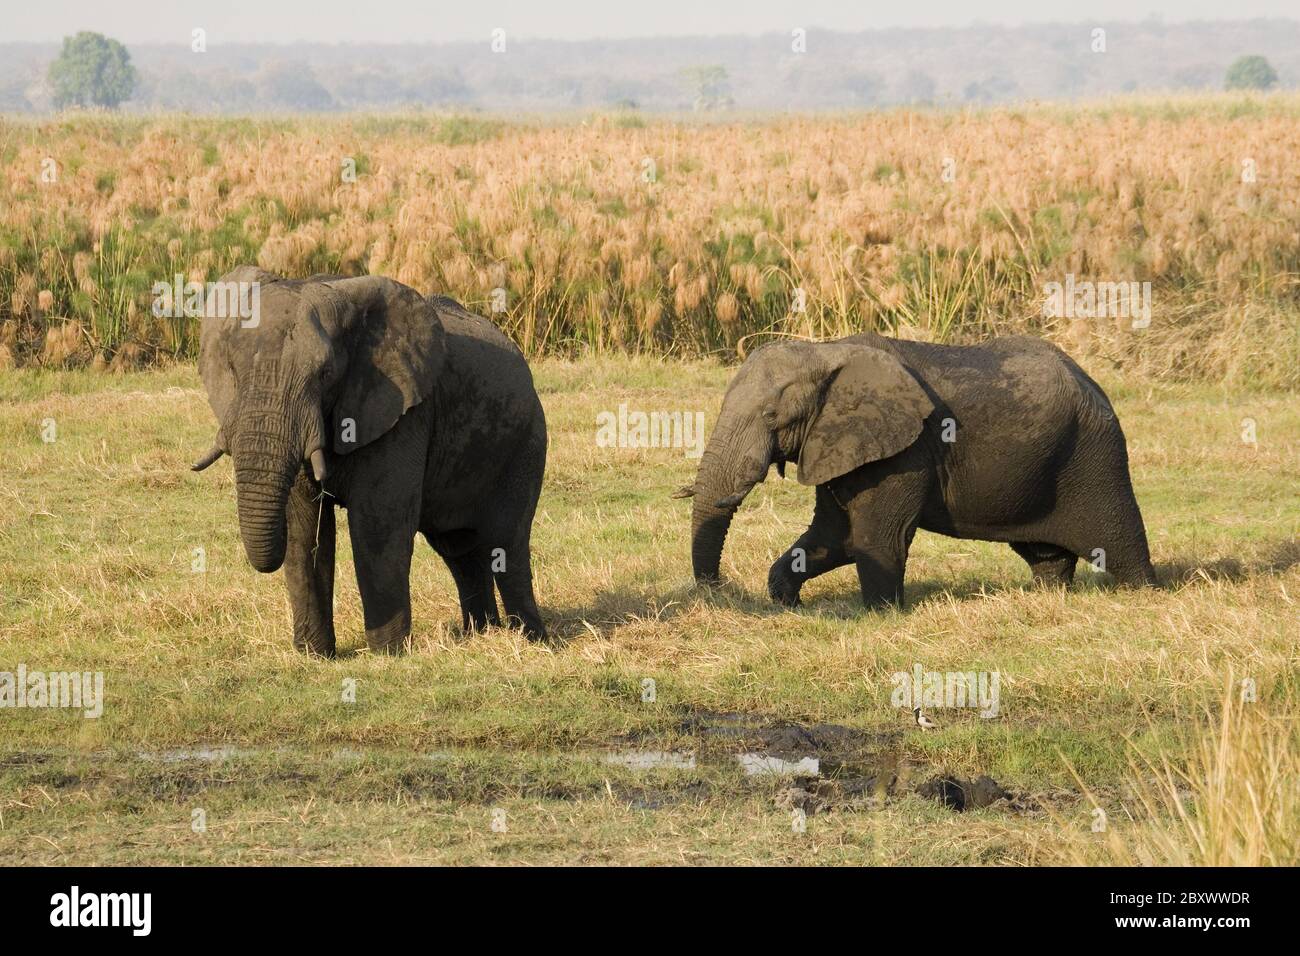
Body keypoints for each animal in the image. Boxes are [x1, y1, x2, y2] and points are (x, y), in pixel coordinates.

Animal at [191, 267, 547, 655]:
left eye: (325, 374)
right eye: (232, 369)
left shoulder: (403, 412)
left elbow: (377, 524)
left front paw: (388, 654)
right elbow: (304, 524)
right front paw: (315, 655)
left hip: (525, 444)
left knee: (506, 543)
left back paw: (532, 641)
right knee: (459, 550)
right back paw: (481, 636)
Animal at [679, 333, 1157, 609]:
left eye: (772, 415)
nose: (719, 593)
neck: (824, 350)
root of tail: (1093, 381)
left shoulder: (905, 450)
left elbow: (875, 535)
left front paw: (880, 614)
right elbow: (833, 535)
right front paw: (784, 598)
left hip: (1095, 458)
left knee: (1119, 544)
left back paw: (1142, 596)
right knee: (1047, 556)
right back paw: (1047, 598)